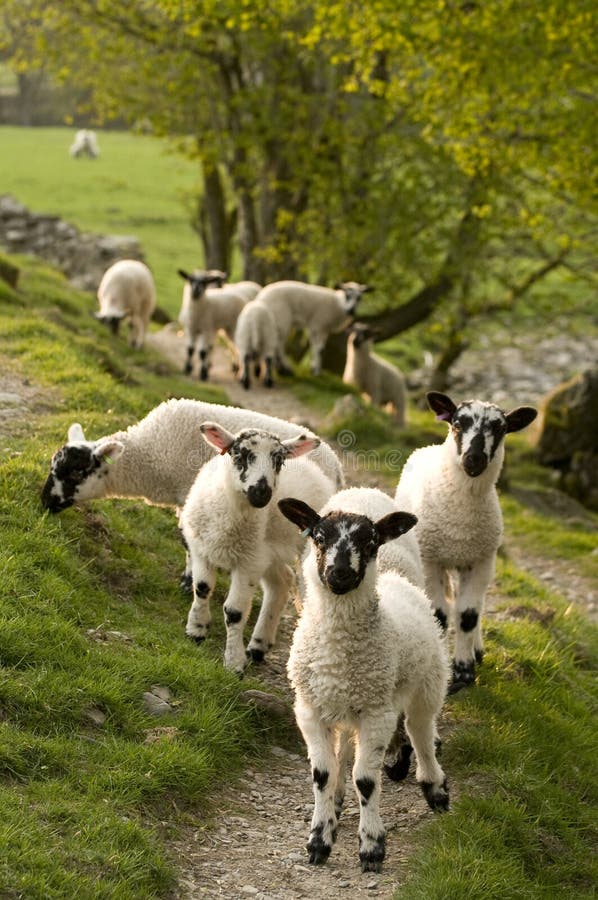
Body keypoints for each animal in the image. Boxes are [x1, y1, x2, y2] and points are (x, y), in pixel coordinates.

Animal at [40, 398, 345, 589]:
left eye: (76, 473)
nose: (45, 502)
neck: (148, 454)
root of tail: (337, 466)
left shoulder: (188, 494)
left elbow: (187, 542)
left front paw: (188, 581)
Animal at [179, 424, 336, 672]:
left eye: (279, 461)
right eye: (239, 454)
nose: (261, 492)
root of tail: (315, 469)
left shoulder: (249, 564)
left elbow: (234, 612)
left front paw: (234, 661)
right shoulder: (202, 550)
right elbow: (202, 589)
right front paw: (196, 629)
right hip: (268, 553)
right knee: (281, 582)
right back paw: (259, 645)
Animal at [278, 490, 450, 873]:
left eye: (370, 543)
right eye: (319, 538)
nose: (340, 573)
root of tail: (395, 577)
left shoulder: (377, 713)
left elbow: (367, 780)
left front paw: (371, 847)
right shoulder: (309, 709)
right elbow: (323, 774)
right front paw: (320, 839)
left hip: (427, 686)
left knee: (421, 733)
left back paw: (435, 788)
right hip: (344, 705)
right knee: (345, 748)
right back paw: (339, 800)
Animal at [394, 391, 538, 692]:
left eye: (501, 429)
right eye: (458, 423)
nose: (474, 460)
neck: (460, 519)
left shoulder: (481, 560)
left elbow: (469, 614)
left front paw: (464, 671)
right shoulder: (431, 559)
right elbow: (439, 613)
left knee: (473, 606)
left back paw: (477, 648)